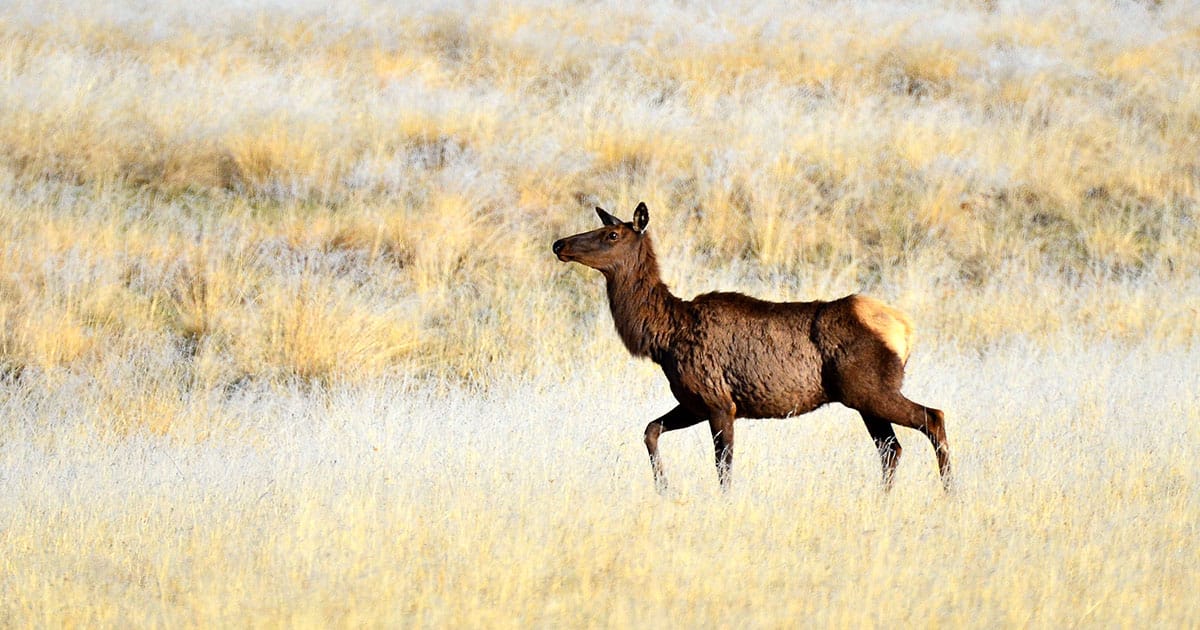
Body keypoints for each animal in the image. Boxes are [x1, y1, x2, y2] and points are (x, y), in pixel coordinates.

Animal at [552, 202, 951, 493]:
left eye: (611, 234)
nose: (559, 244)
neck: (663, 337)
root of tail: (905, 329)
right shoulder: (694, 401)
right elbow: (650, 429)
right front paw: (663, 487)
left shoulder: (719, 402)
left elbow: (723, 468)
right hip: (863, 399)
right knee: (891, 448)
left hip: (871, 389)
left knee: (932, 418)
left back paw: (949, 492)